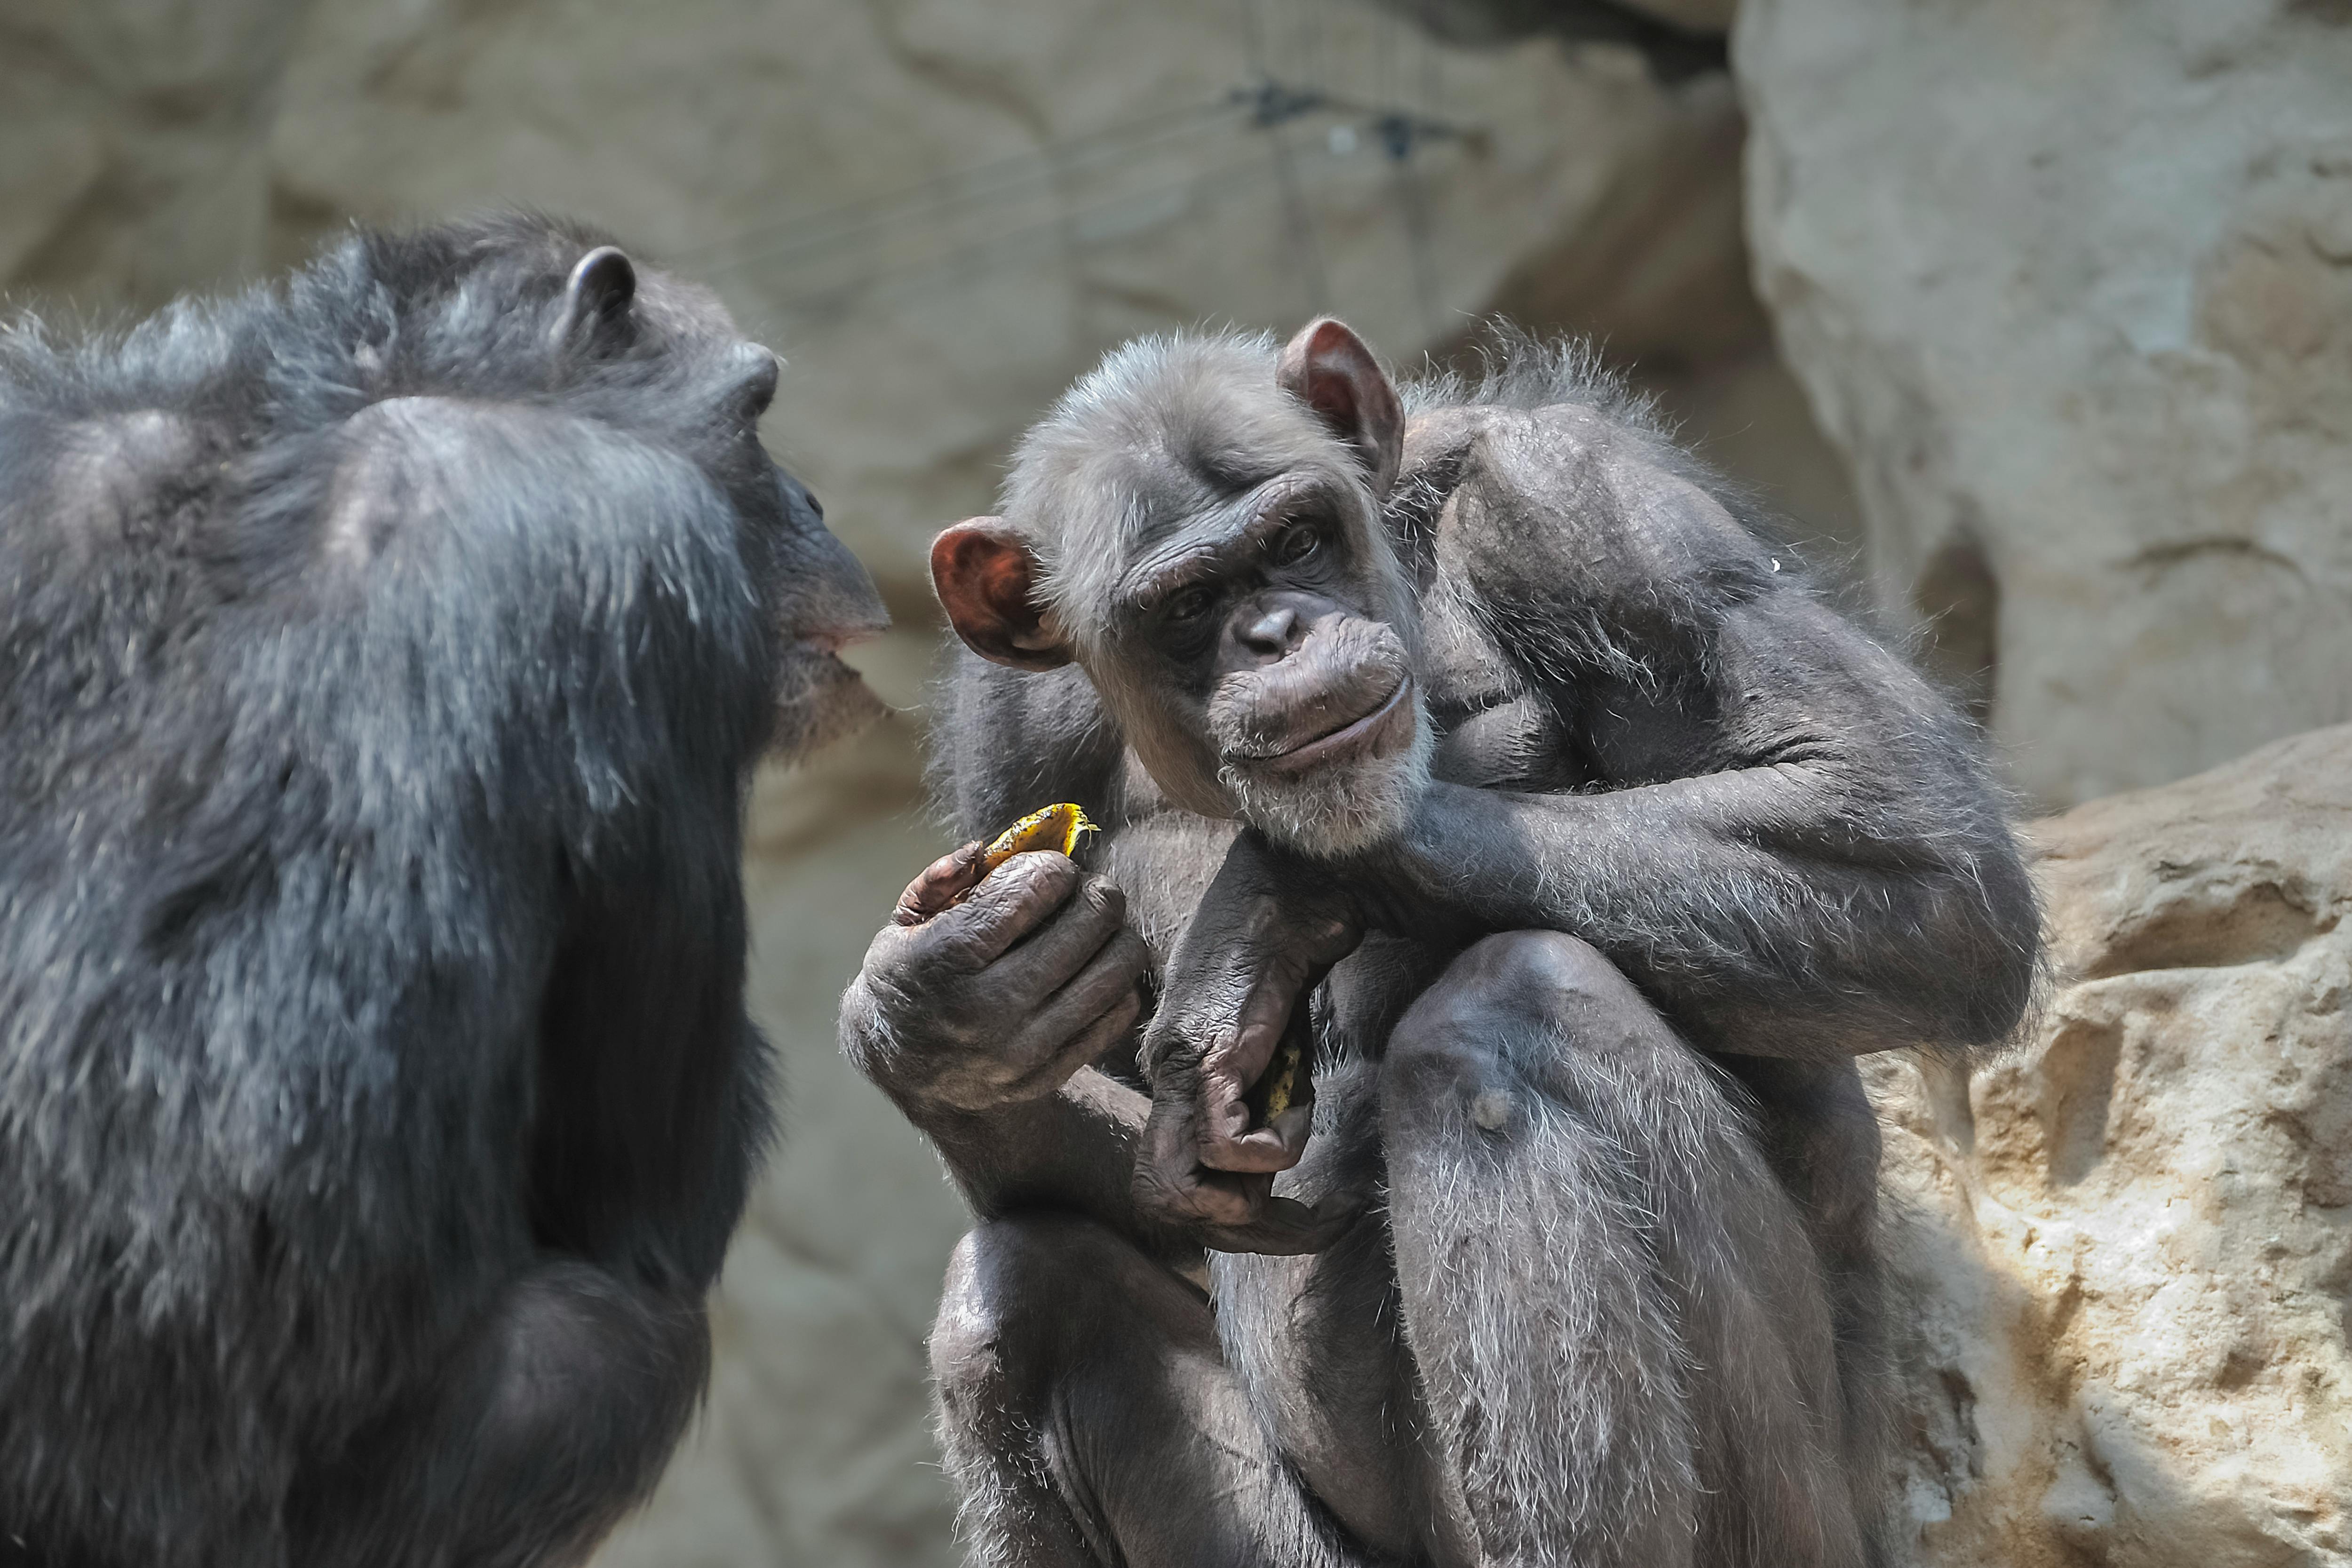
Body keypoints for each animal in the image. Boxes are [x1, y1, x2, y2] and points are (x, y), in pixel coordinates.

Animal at [842, 319, 2039, 1566]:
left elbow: (1909, 842)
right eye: (1186, 603)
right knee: (1017, 1295)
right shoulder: (1003, 736)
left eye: (1295, 538)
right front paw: (938, 1019)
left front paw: (1267, 900)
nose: (1276, 635)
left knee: (1509, 1010)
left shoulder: (1579, 503)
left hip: (1807, 1523)